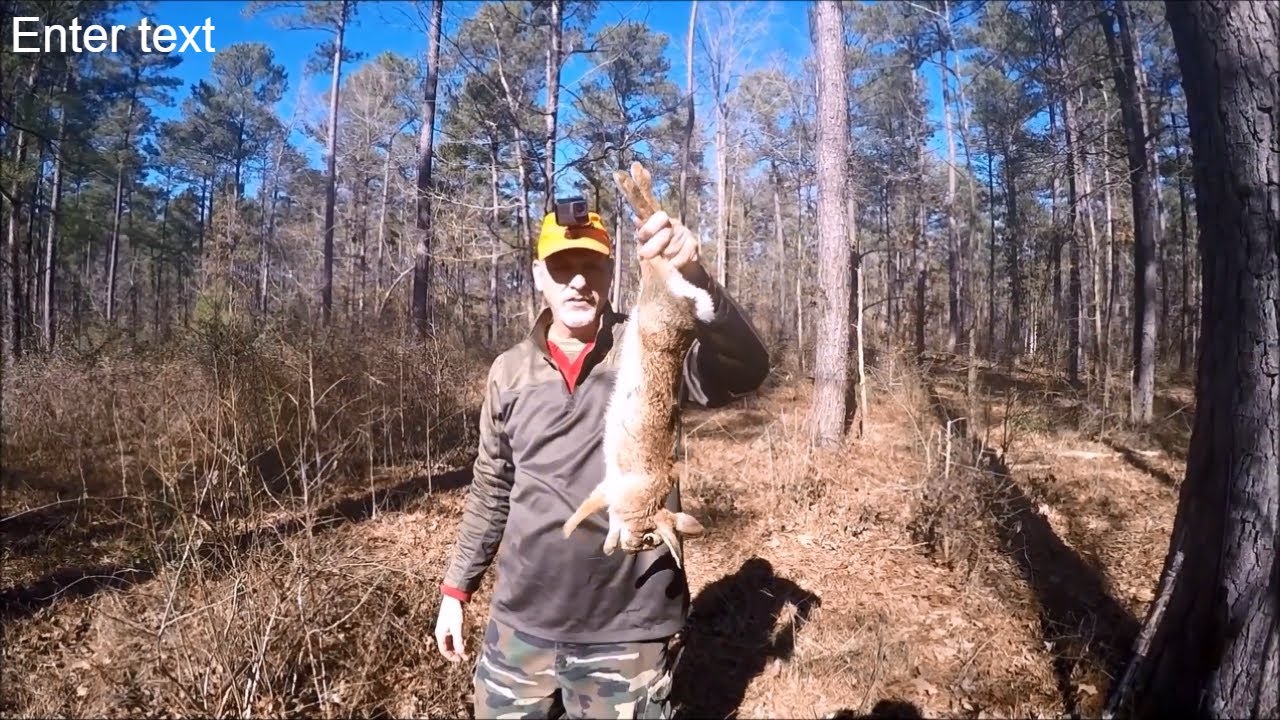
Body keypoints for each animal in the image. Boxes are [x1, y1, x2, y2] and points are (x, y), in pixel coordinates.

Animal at [561, 161, 715, 570]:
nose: (630, 549)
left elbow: (593, 509)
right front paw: (567, 532)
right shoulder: (612, 492)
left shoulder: (608, 489)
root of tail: (688, 306)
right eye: (649, 537)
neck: (647, 503)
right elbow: (585, 511)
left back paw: (631, 175)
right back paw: (630, 178)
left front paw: (592, 539)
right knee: (651, 240)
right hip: (653, 292)